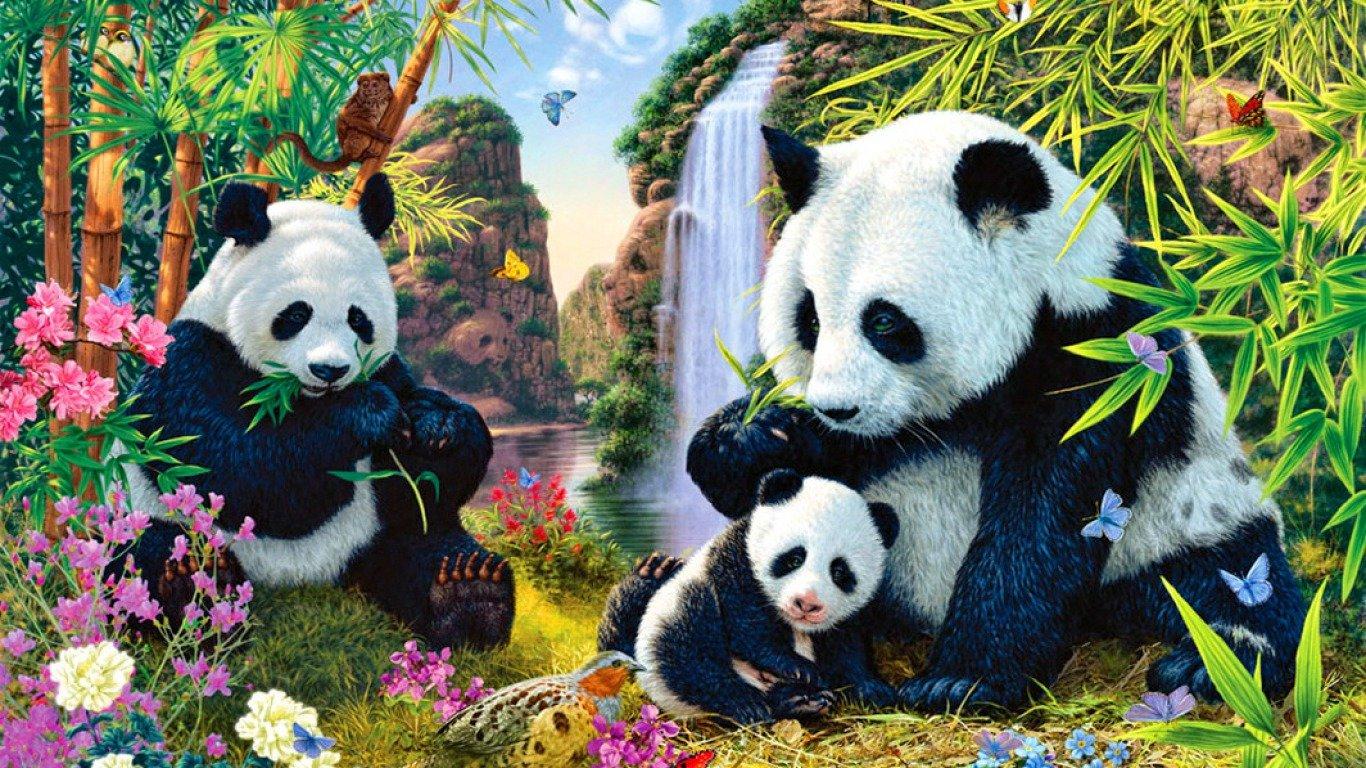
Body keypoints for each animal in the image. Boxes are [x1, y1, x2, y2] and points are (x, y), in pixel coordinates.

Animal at [120, 175, 514, 649]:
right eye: (296, 314)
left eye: (358, 319)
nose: (330, 370)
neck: (306, 399)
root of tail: (317, 579)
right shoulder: (189, 362)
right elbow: (240, 471)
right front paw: (369, 412)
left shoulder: (388, 367)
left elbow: (428, 482)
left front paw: (438, 425)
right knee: (148, 553)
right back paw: (188, 588)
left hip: (372, 533)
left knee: (417, 542)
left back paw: (467, 595)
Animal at [598, 470, 899, 724]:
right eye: (794, 558)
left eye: (839, 570)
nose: (806, 603)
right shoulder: (735, 558)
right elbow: (747, 624)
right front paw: (797, 667)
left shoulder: (847, 616)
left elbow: (847, 646)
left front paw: (872, 688)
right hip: (674, 612)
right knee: (689, 648)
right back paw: (745, 702)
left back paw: (799, 700)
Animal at [686, 112, 1306, 711]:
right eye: (809, 318)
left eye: (883, 321)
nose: (836, 407)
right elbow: (782, 485)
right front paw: (751, 433)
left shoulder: (1099, 353)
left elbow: (1043, 511)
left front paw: (961, 681)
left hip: (1188, 516)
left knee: (1230, 582)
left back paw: (1211, 662)